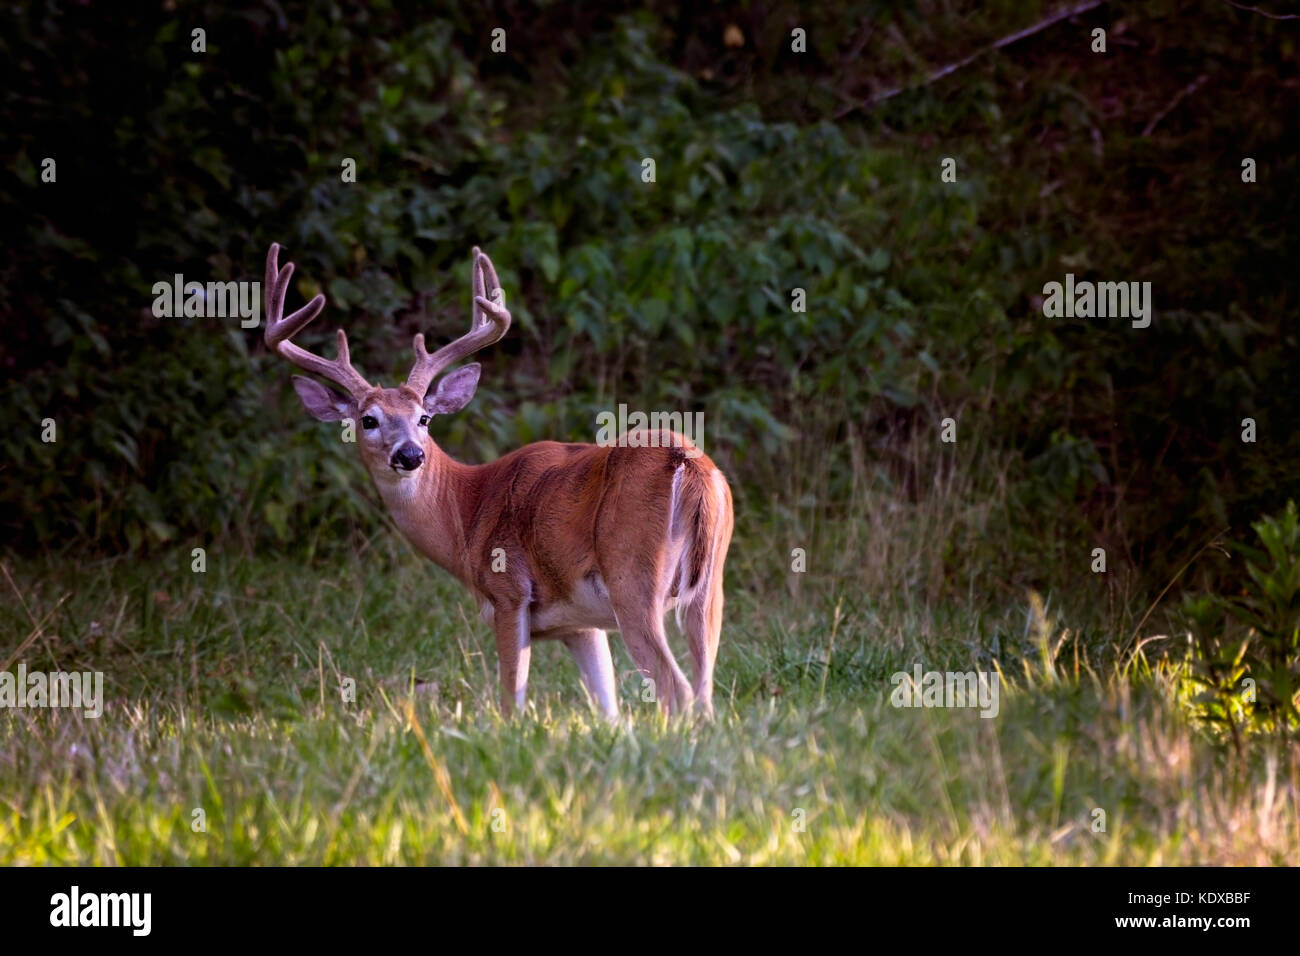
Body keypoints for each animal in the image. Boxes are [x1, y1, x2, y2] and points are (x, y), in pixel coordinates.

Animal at [262, 243, 734, 719]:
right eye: (368, 420)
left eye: (424, 417)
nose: (410, 454)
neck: (467, 509)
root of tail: (688, 463)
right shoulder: (580, 624)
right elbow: (609, 711)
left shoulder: (508, 594)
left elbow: (512, 703)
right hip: (710, 586)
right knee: (705, 688)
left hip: (633, 579)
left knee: (678, 688)